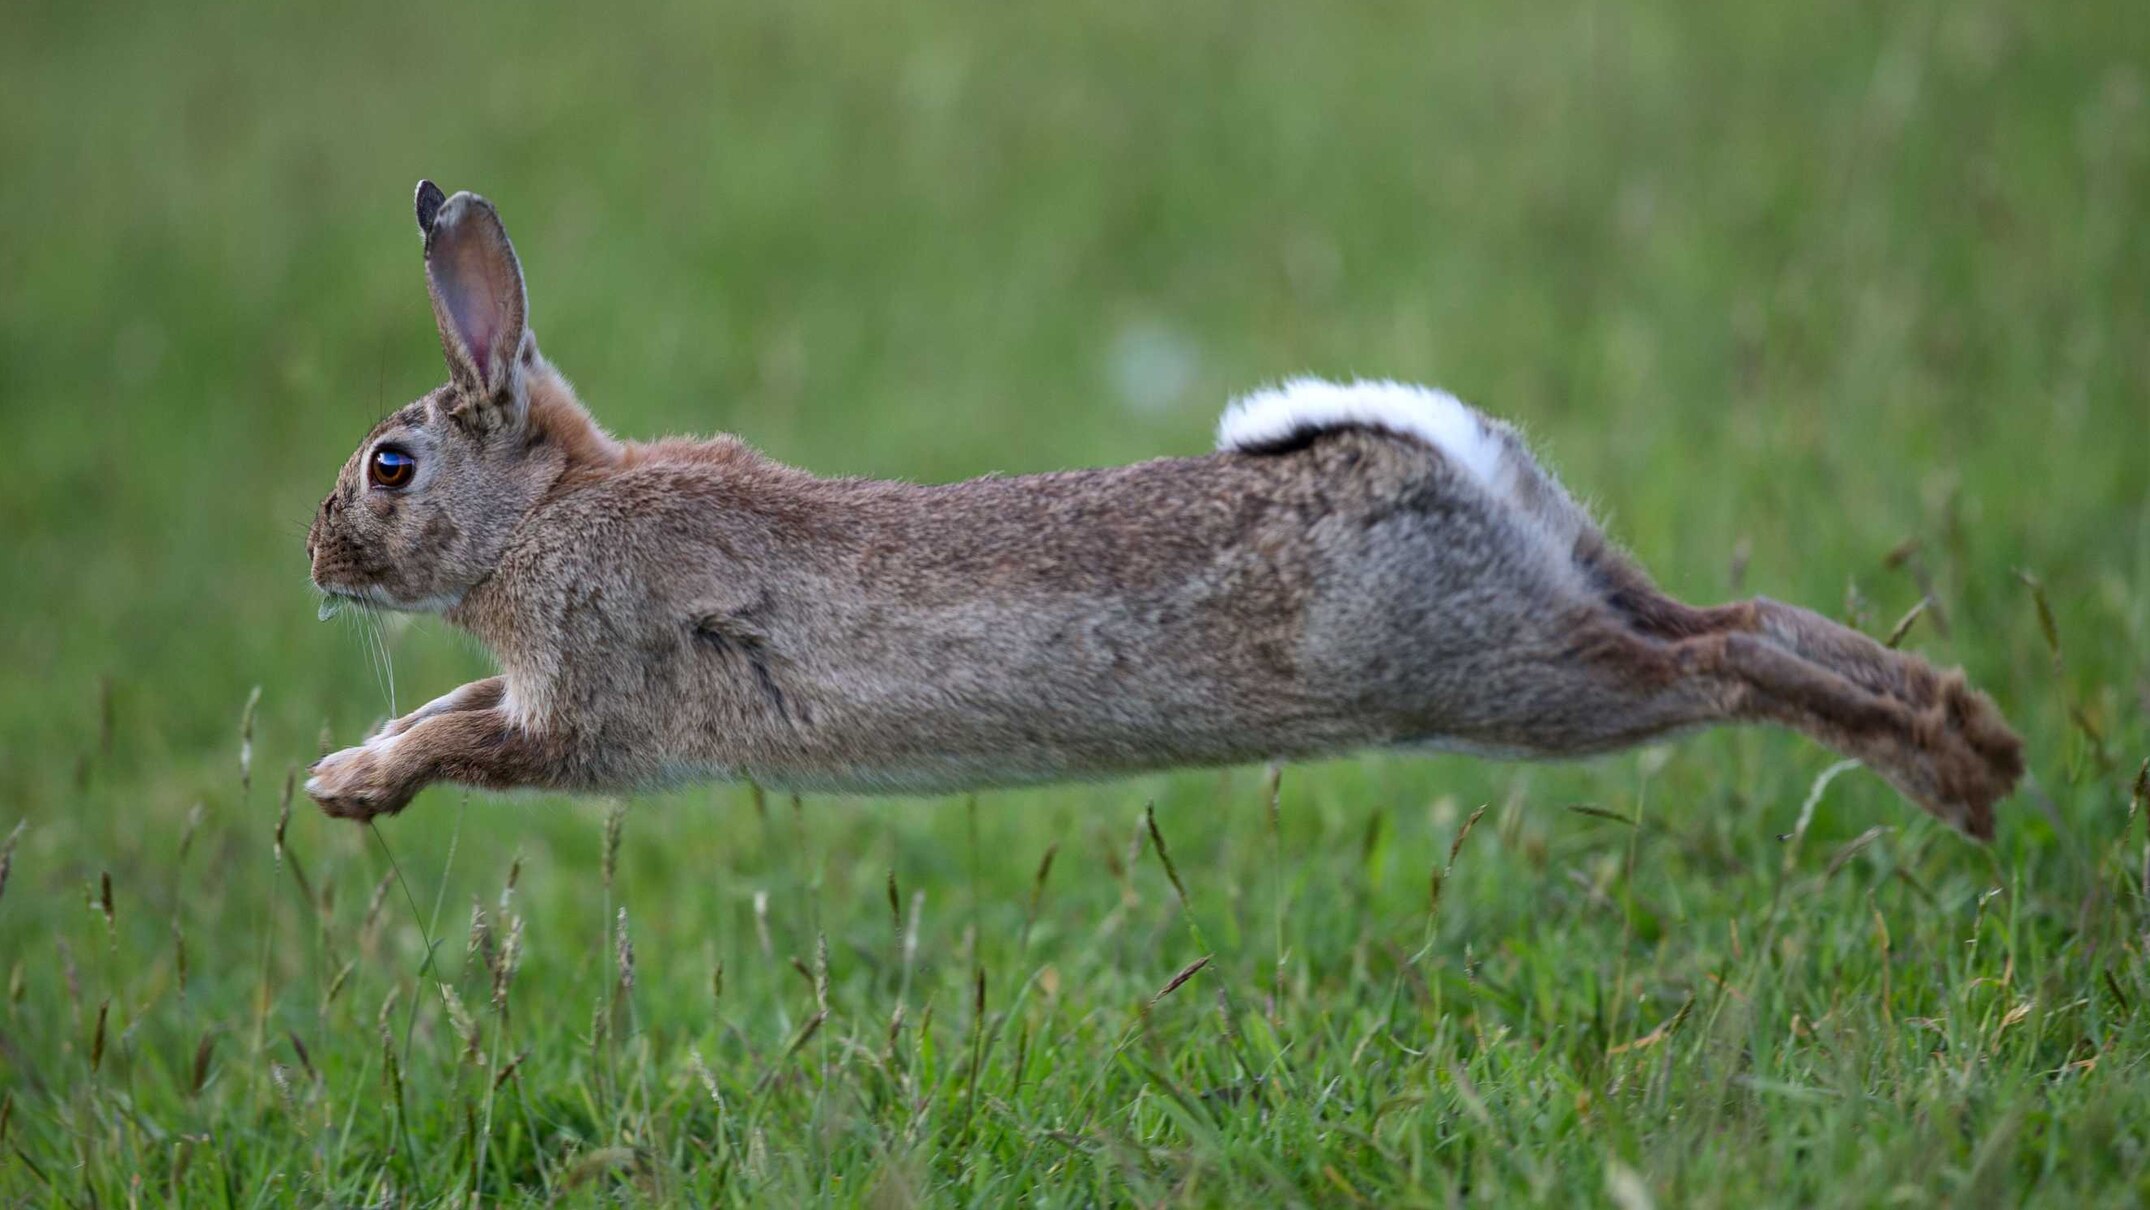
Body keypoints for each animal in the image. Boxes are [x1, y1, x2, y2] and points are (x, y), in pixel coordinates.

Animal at [305, 181, 2024, 838]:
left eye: (390, 466)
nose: (314, 557)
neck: (541, 506)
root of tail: (1442, 456)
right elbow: (450, 703)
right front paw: (337, 773)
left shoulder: (592, 708)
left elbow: (470, 736)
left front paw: (350, 789)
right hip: (1557, 593)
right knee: (1740, 619)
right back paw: (1974, 742)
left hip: (1500, 676)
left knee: (1712, 668)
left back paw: (1940, 771)